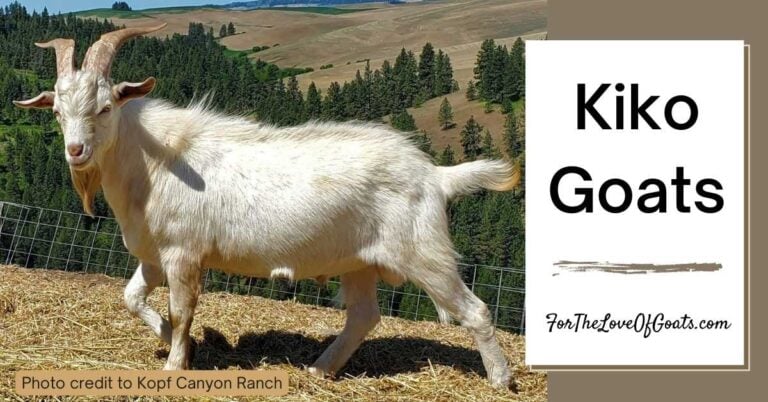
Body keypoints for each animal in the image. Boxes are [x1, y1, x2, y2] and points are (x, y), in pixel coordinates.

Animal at [14, 25, 519, 388]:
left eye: (104, 107)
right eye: (57, 112)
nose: (76, 151)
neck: (153, 161)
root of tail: (436, 176)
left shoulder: (182, 253)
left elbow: (182, 310)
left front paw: (175, 365)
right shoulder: (155, 255)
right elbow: (132, 297)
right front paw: (182, 345)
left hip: (423, 252)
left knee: (475, 310)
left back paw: (500, 380)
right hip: (359, 262)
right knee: (364, 316)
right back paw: (320, 370)